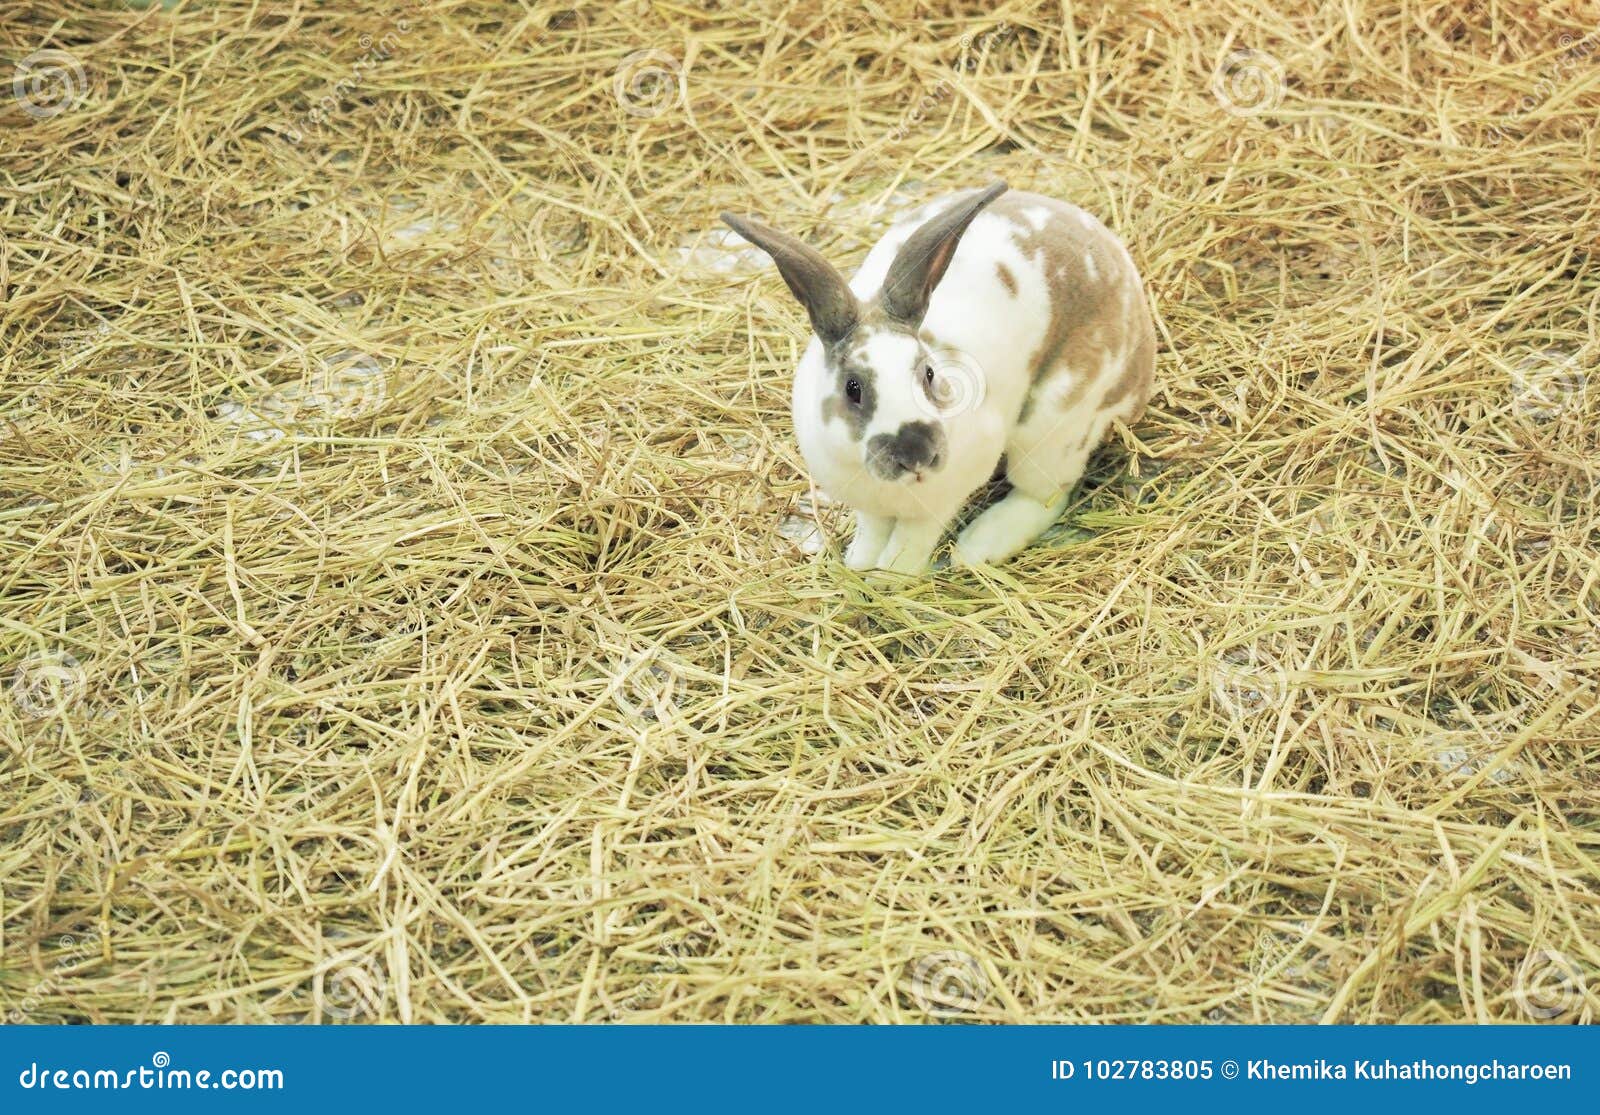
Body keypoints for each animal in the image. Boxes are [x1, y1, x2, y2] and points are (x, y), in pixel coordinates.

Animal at [721, 180, 1154, 574]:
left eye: (929, 374)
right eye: (853, 388)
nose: (916, 452)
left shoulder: (942, 499)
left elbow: (916, 535)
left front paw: (893, 573)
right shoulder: (868, 506)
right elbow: (873, 530)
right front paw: (860, 564)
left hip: (1056, 428)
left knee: (1045, 494)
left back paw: (978, 546)